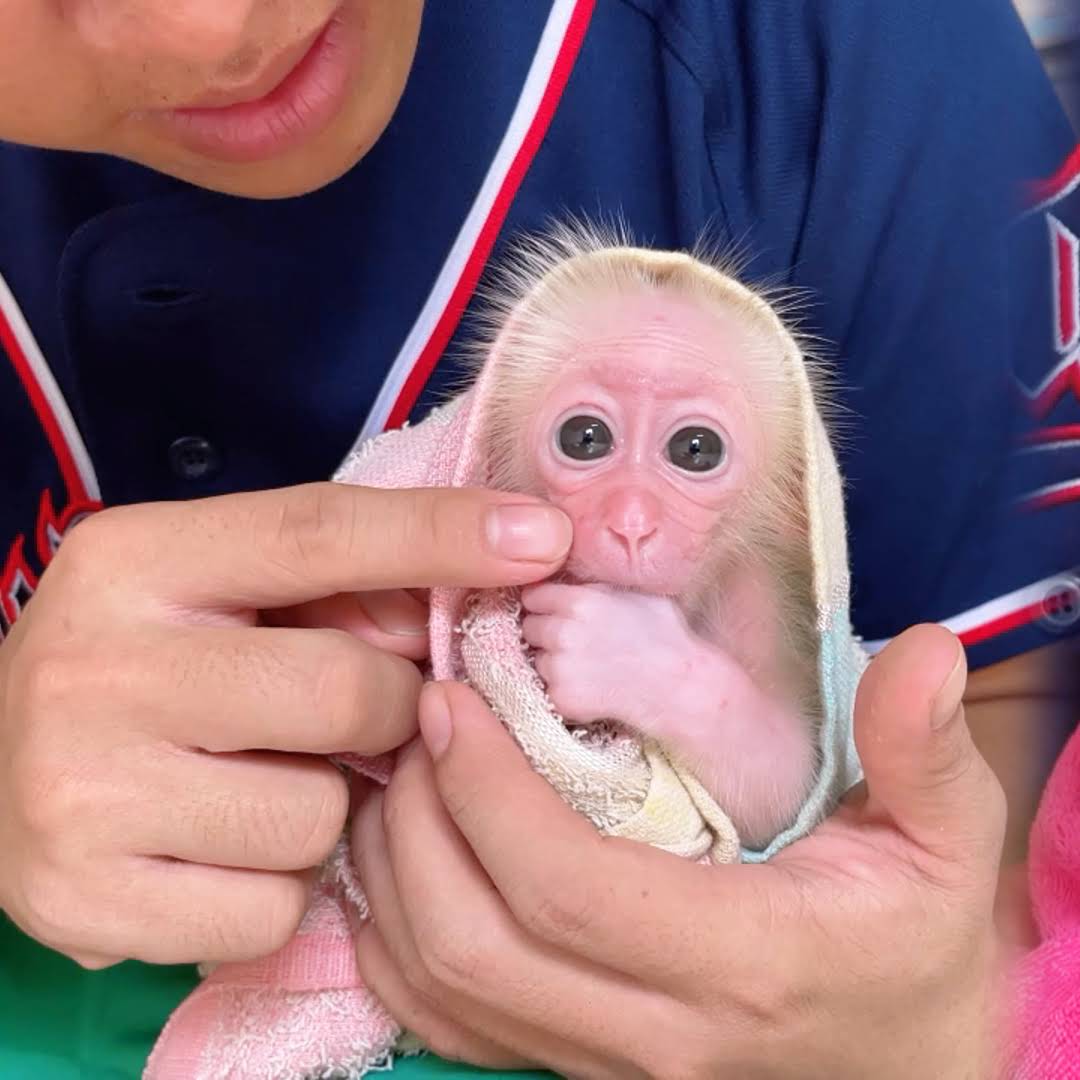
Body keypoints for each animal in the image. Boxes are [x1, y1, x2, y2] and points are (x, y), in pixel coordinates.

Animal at [466, 223, 829, 849]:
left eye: (695, 448)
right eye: (585, 437)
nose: (632, 525)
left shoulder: (755, 589)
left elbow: (783, 793)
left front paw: (630, 653)